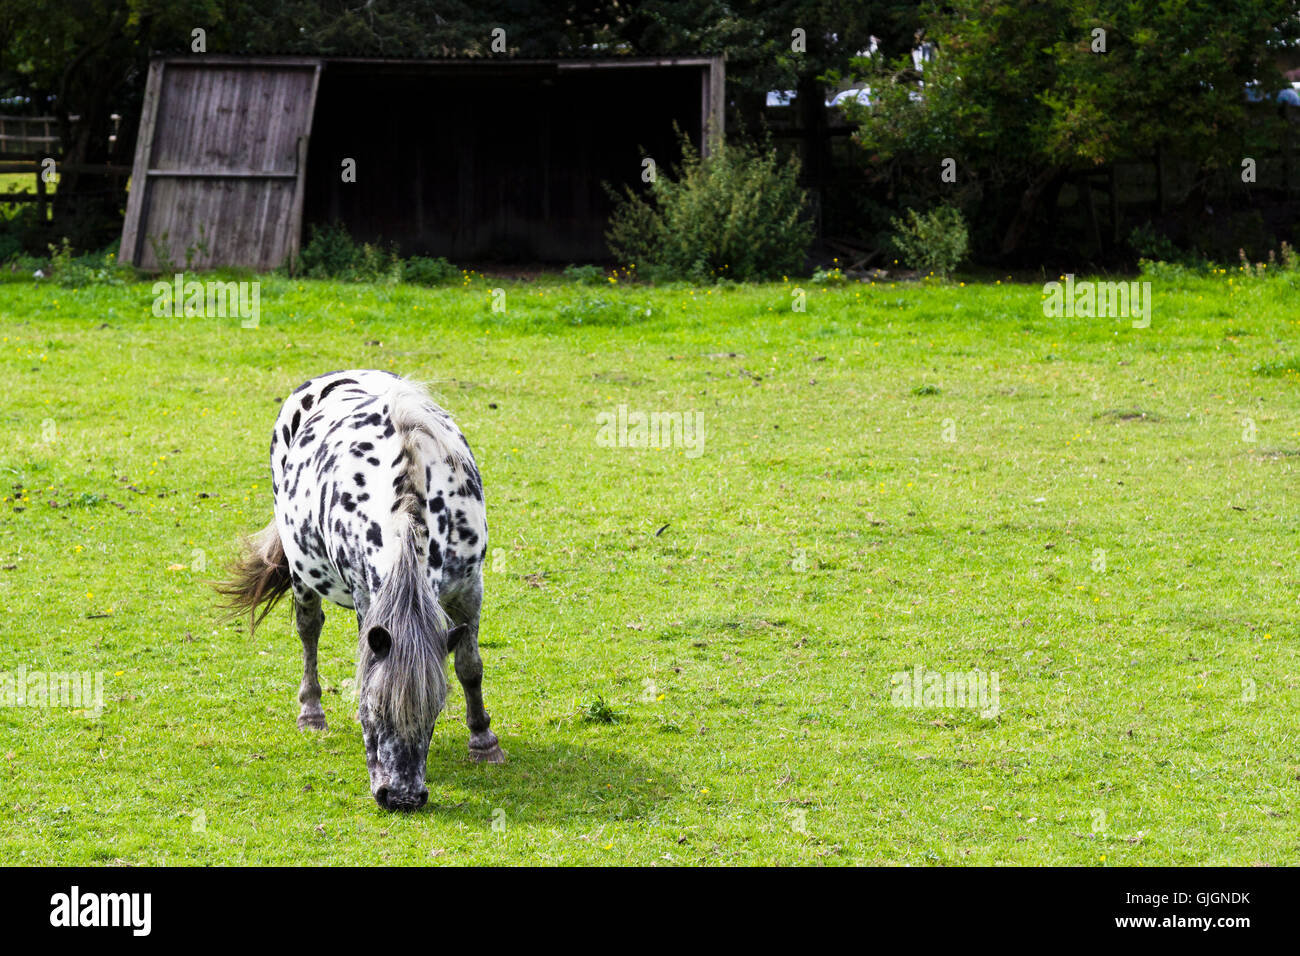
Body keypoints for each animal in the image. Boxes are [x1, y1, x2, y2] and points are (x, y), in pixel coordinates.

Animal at [216, 370, 504, 810]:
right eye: (372, 708)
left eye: (435, 710)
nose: (401, 797)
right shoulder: (366, 596)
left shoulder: (470, 588)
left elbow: (470, 667)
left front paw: (483, 741)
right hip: (302, 572)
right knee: (309, 629)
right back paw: (311, 712)